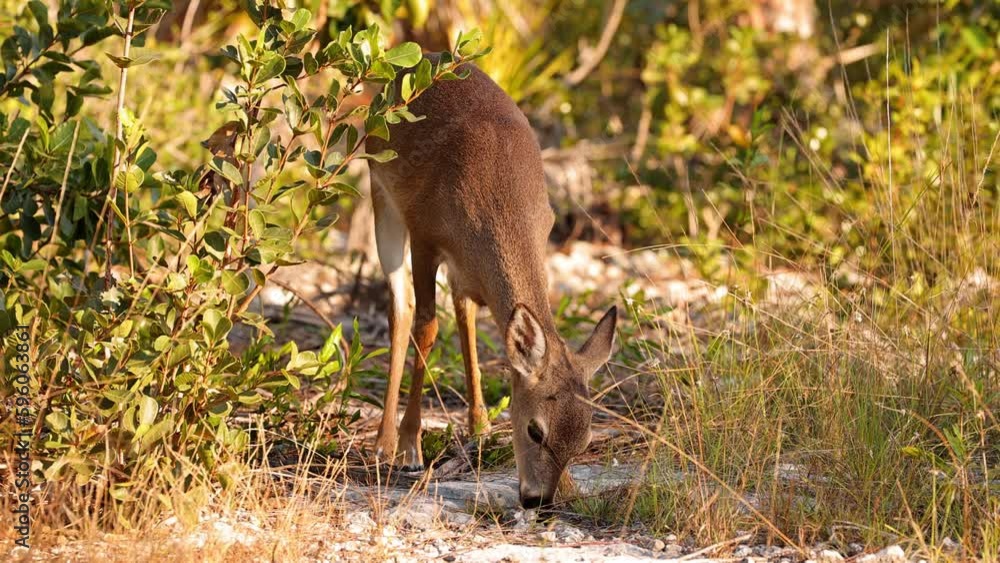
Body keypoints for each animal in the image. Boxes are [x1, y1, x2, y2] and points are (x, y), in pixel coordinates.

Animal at [365, 53, 618, 509]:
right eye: (535, 429)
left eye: (586, 440)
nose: (537, 500)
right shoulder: (425, 234)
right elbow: (426, 326)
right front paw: (411, 446)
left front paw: (570, 485)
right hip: (382, 200)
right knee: (401, 308)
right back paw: (386, 444)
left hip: (457, 267)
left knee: (462, 310)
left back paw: (478, 426)